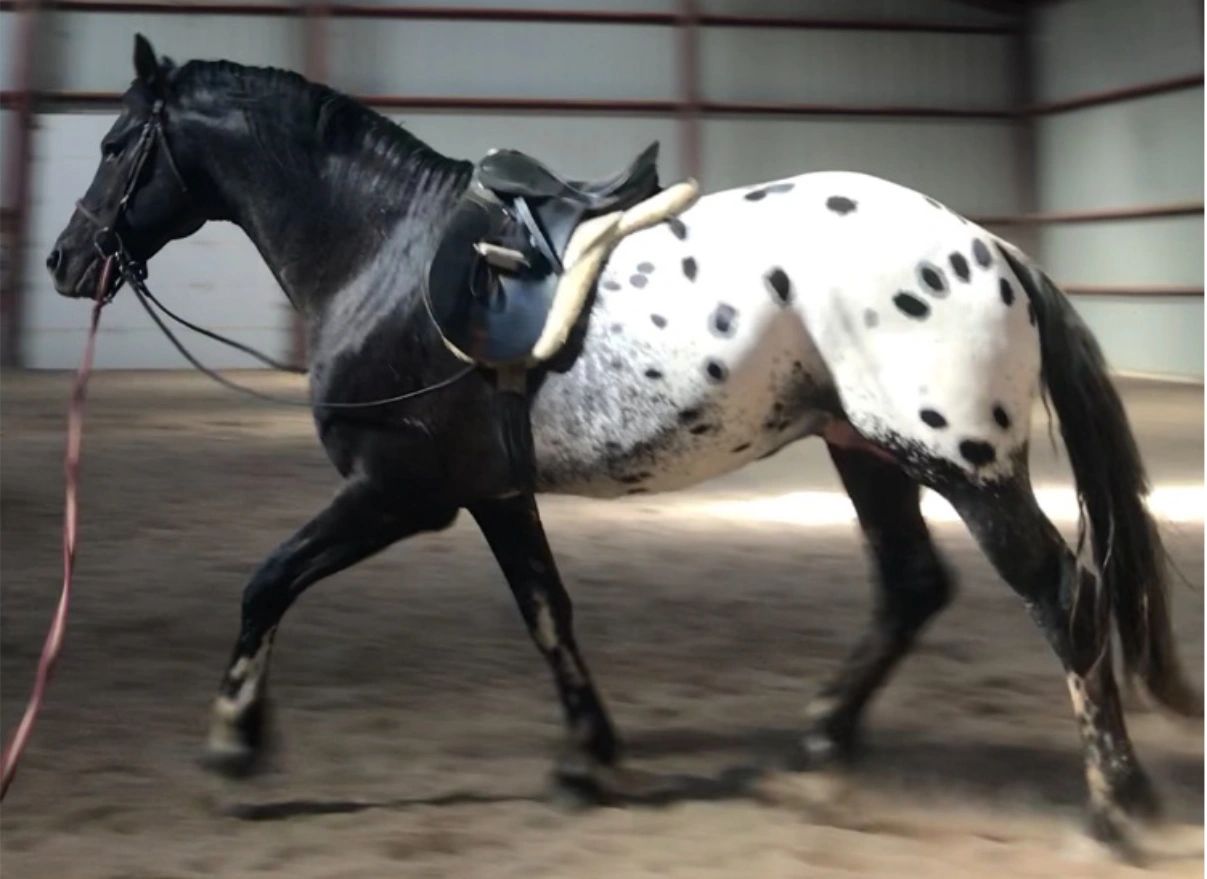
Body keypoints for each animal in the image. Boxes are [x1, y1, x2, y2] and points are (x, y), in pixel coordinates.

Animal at [46, 35, 1198, 855]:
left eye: (114, 145)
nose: (64, 261)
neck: (383, 254)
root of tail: (987, 244)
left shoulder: (398, 490)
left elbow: (267, 583)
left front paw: (233, 743)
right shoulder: (493, 494)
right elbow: (547, 613)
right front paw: (587, 758)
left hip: (959, 464)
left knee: (1062, 598)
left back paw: (1114, 805)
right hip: (866, 451)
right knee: (913, 586)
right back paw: (820, 744)